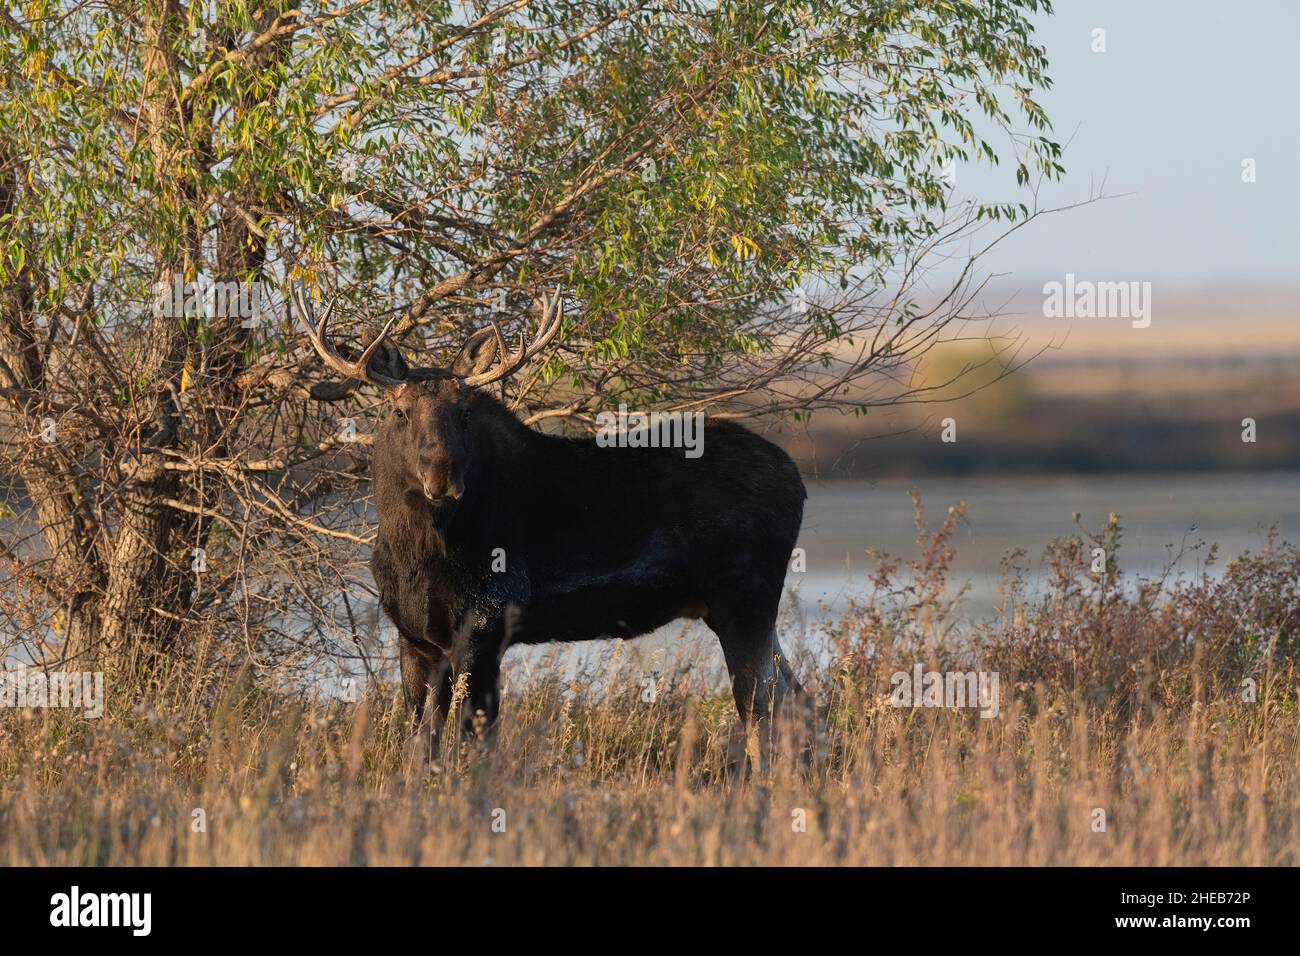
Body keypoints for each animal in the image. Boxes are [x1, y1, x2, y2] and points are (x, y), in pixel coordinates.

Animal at [295, 284, 807, 762]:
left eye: (465, 413)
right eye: (400, 412)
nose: (443, 477)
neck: (413, 551)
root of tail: (796, 477)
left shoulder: (485, 626)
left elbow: (474, 745)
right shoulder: (415, 639)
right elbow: (421, 746)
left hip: (744, 598)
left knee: (761, 707)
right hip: (733, 608)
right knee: (793, 695)